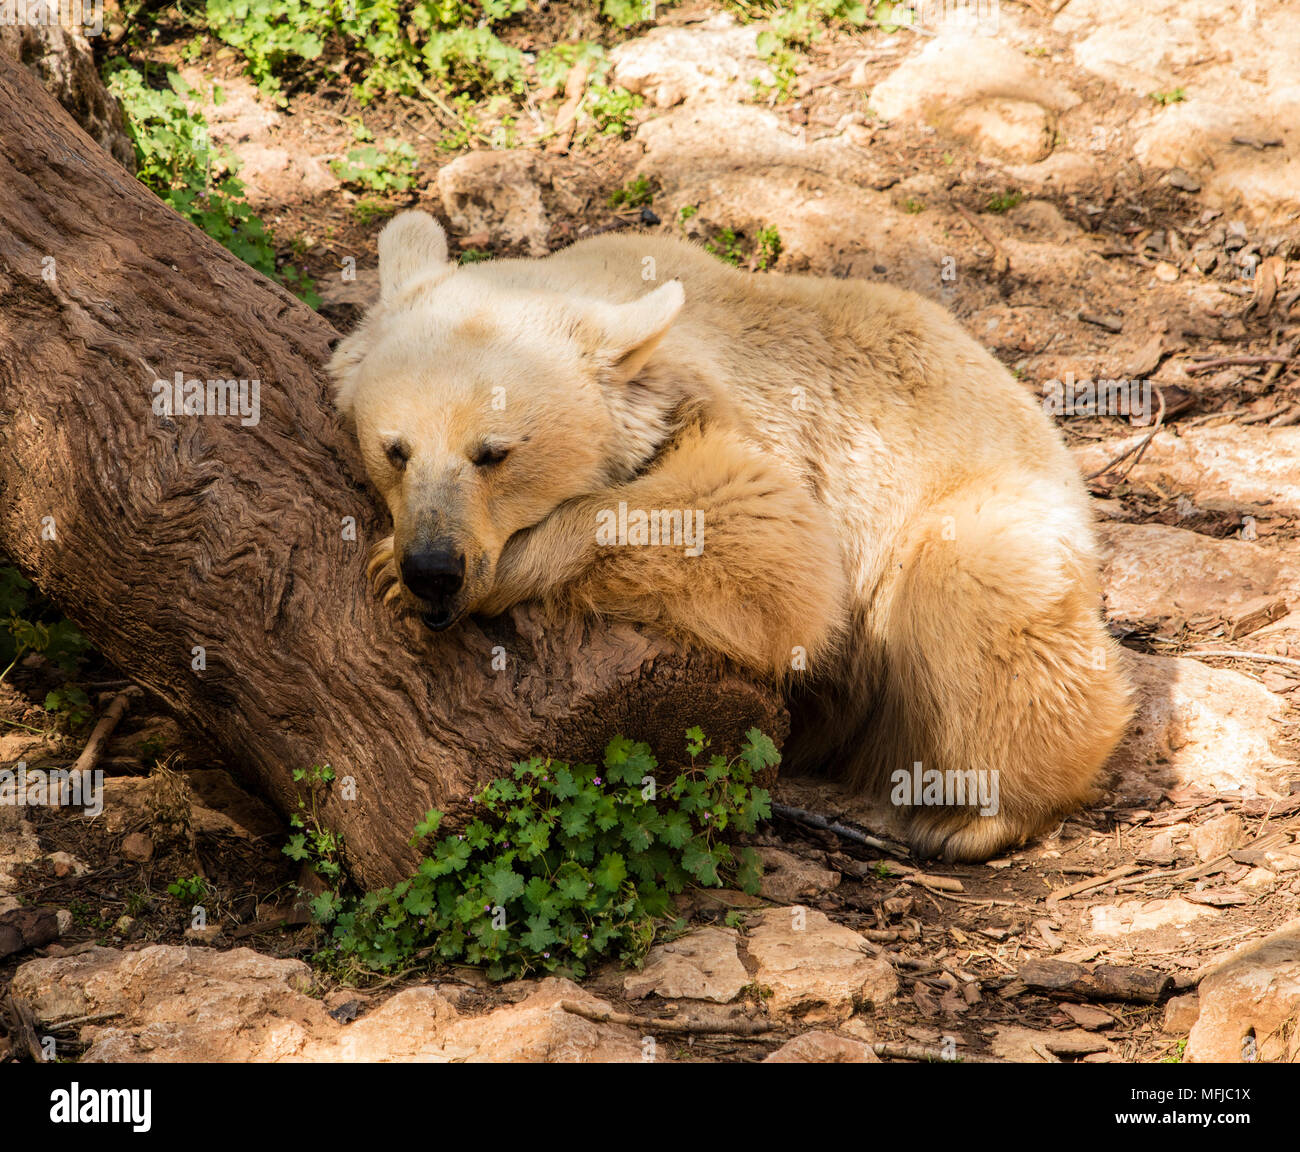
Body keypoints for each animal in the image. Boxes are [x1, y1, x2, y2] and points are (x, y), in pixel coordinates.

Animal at [330, 210, 1132, 862]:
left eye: (492, 453)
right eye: (395, 450)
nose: (433, 567)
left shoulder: (739, 416)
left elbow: (768, 537)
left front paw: (429, 573)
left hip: (978, 504)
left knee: (976, 589)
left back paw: (976, 816)